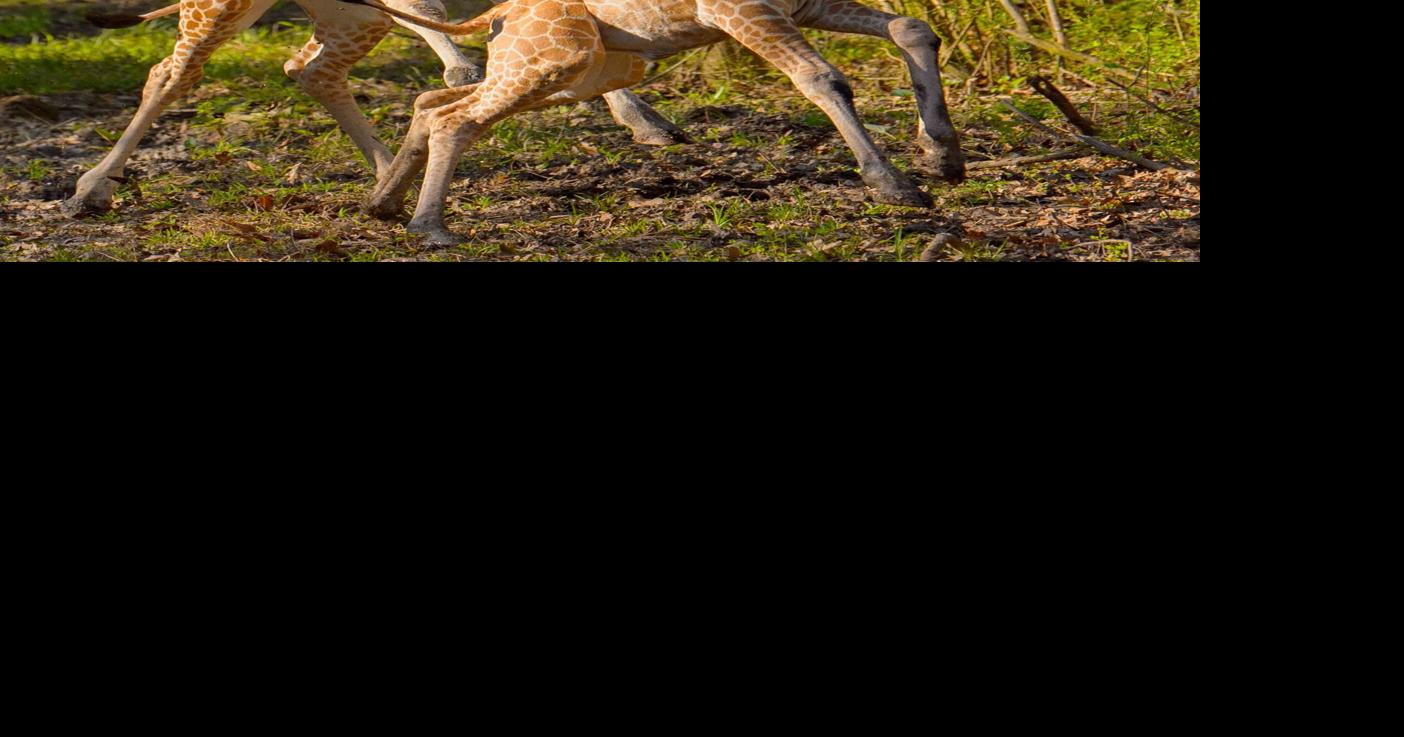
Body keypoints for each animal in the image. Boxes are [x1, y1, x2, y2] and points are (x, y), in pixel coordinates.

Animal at [60, 0, 684, 217]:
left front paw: (651, 123)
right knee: (172, 71)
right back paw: (91, 190)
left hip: (350, 16)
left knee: (310, 68)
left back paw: (390, 177)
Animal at [344, 0, 967, 247]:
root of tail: (494, 14)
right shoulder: (742, 8)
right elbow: (822, 78)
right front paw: (895, 185)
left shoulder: (804, 3)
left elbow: (912, 26)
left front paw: (944, 157)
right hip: (555, 64)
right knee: (457, 117)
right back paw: (430, 226)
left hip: (584, 69)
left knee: (433, 101)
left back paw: (384, 205)